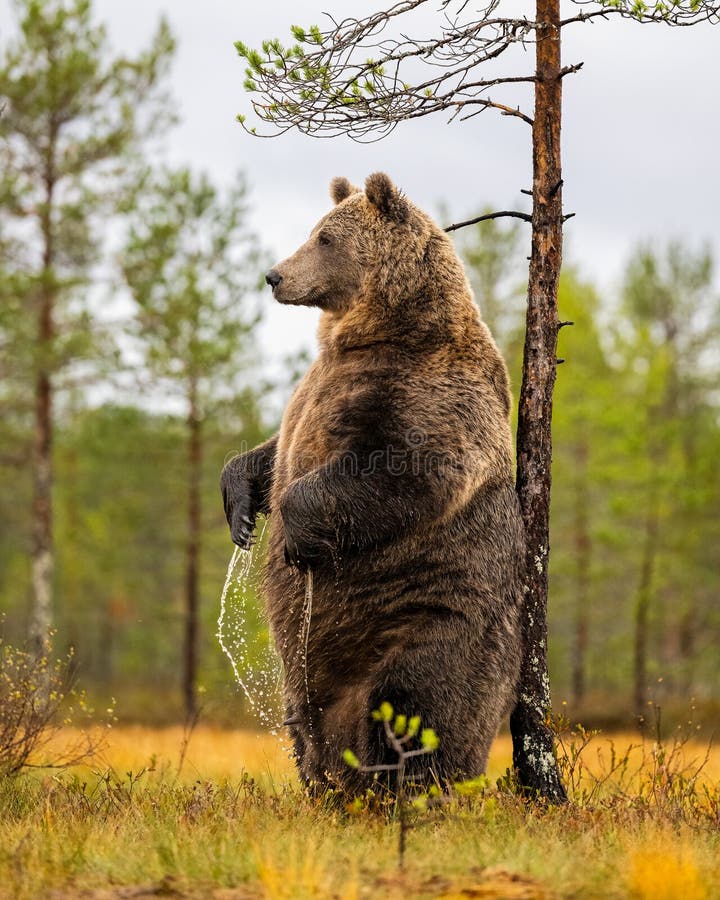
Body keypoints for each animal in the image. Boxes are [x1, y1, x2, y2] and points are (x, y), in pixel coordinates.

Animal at [221, 173, 524, 791]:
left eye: (326, 239)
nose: (275, 276)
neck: (374, 332)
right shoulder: (321, 385)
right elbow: (271, 454)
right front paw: (239, 507)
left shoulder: (428, 393)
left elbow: (408, 468)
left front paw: (298, 539)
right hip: (309, 674)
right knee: (304, 717)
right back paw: (330, 783)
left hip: (437, 615)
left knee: (419, 699)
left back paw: (416, 784)